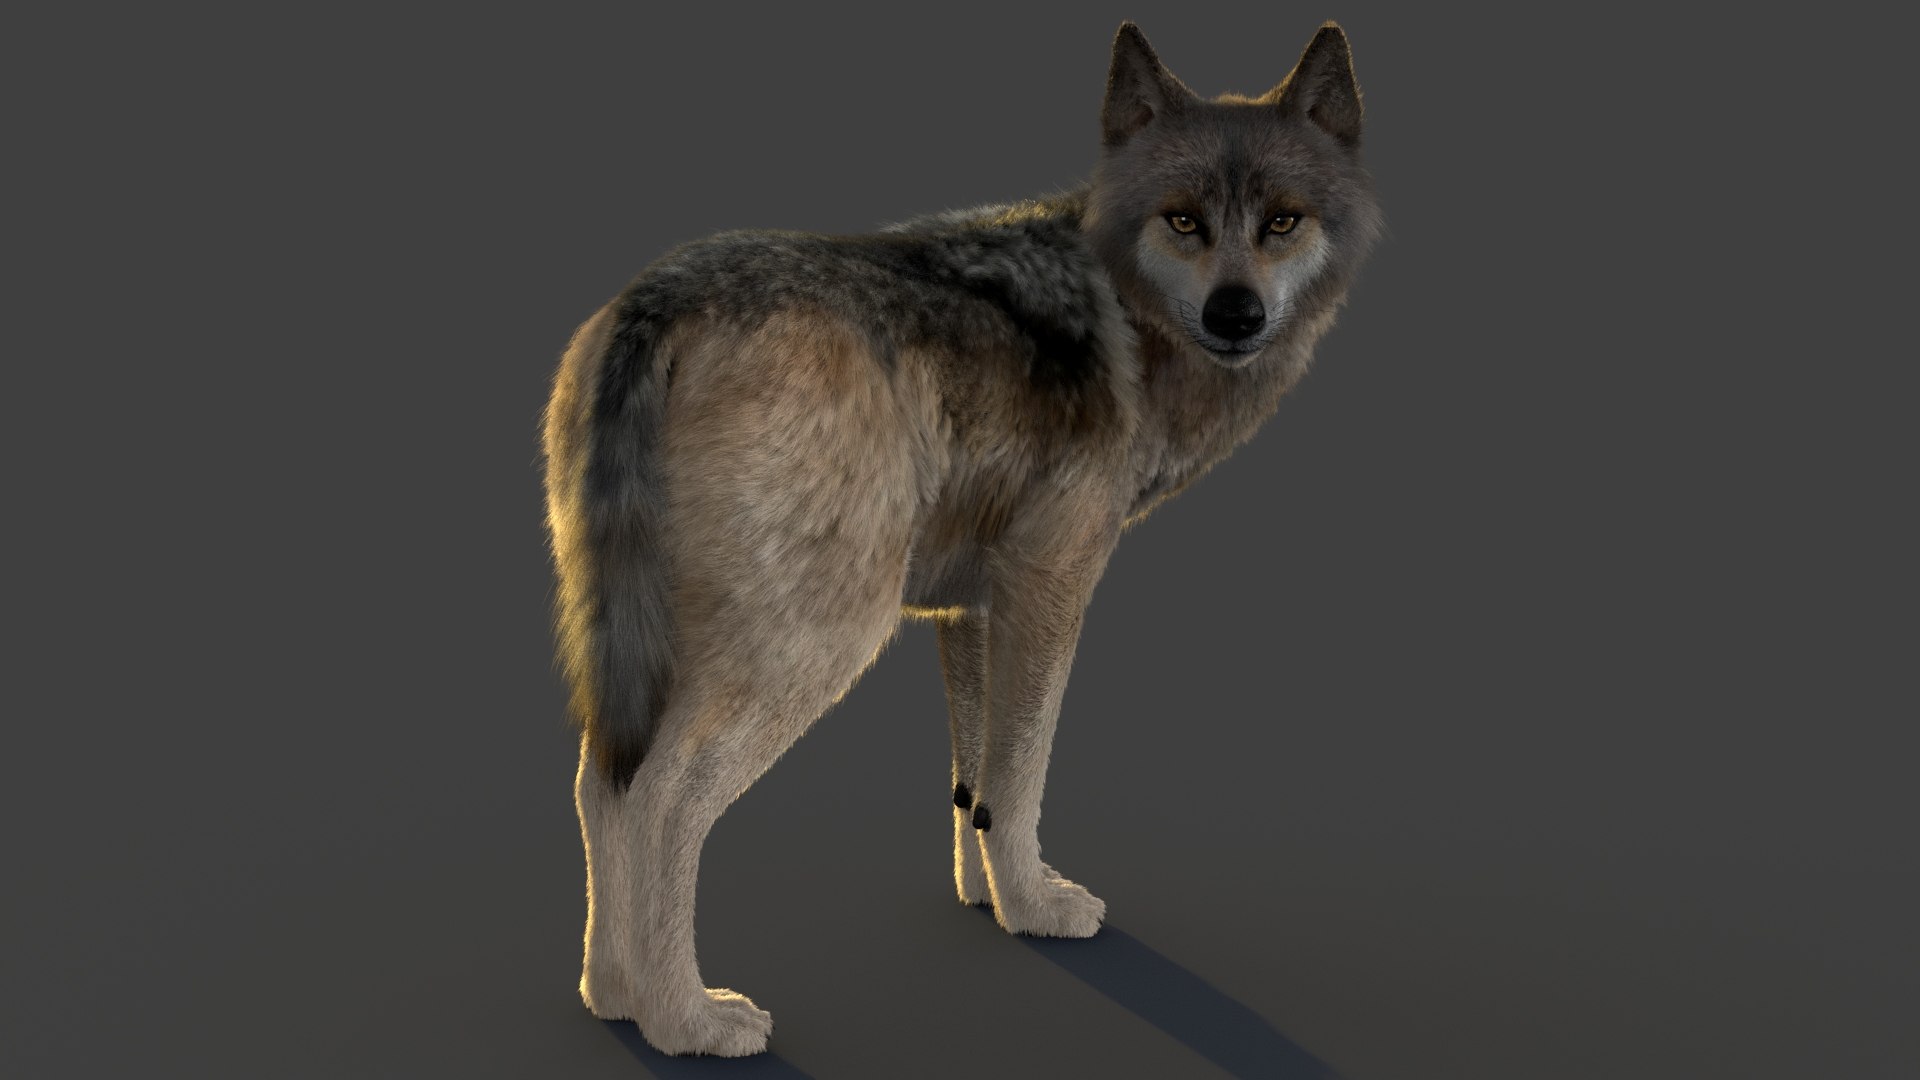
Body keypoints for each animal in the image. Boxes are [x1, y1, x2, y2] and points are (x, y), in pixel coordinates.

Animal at [540, 21, 1383, 1055]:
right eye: (1184, 221)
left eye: (1283, 222)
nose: (1237, 313)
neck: (1124, 308)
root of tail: (659, 297)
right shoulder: (1048, 583)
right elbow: (1021, 775)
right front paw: (1039, 911)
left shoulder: (970, 607)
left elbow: (972, 789)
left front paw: (991, 904)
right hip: (817, 644)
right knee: (657, 799)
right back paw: (686, 1020)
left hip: (654, 651)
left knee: (596, 785)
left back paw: (611, 994)